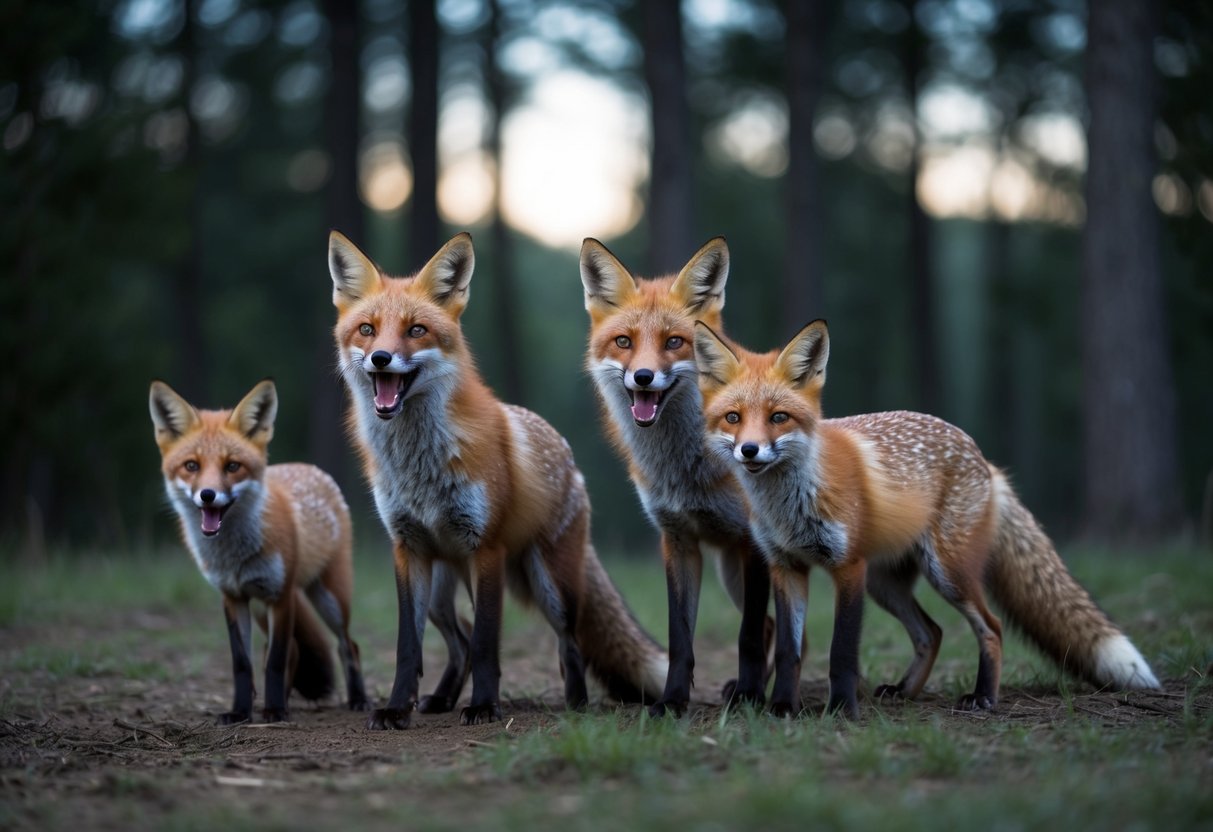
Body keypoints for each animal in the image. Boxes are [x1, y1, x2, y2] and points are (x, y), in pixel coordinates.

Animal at [149, 379, 369, 724]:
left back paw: (357, 699)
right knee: (295, 651)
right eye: (191, 466)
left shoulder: (280, 596)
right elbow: (244, 663)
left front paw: (275, 711)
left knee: (348, 645)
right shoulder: (233, 597)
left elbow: (274, 661)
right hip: (264, 607)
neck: (234, 556)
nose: (207, 495)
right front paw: (240, 712)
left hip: (328, 597)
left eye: (232, 466)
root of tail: (311, 468)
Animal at [328, 230, 668, 730]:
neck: (419, 465)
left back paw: (576, 704)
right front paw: (396, 708)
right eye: (367, 330)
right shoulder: (407, 549)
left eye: (416, 331)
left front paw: (486, 706)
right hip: (441, 589)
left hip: (548, 583)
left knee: (566, 643)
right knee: (460, 641)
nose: (381, 359)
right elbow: (409, 647)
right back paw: (440, 699)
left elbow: (489, 642)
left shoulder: (485, 547)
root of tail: (567, 454)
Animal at [579, 237, 772, 717]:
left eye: (674, 342)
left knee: (768, 626)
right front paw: (672, 700)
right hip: (729, 571)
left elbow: (747, 636)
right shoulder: (677, 538)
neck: (687, 472)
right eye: (624, 342)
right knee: (774, 625)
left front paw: (751, 698)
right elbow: (680, 637)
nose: (644, 377)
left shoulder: (753, 541)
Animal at [692, 319, 1161, 719]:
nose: (749, 450)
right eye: (733, 418)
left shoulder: (848, 568)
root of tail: (984, 459)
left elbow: (842, 652)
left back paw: (982, 696)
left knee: (991, 628)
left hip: (947, 572)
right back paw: (904, 691)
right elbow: (790, 650)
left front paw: (841, 710)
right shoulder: (786, 566)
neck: (790, 504)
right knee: (931, 632)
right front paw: (782, 708)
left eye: (778, 417)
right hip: (886, 584)